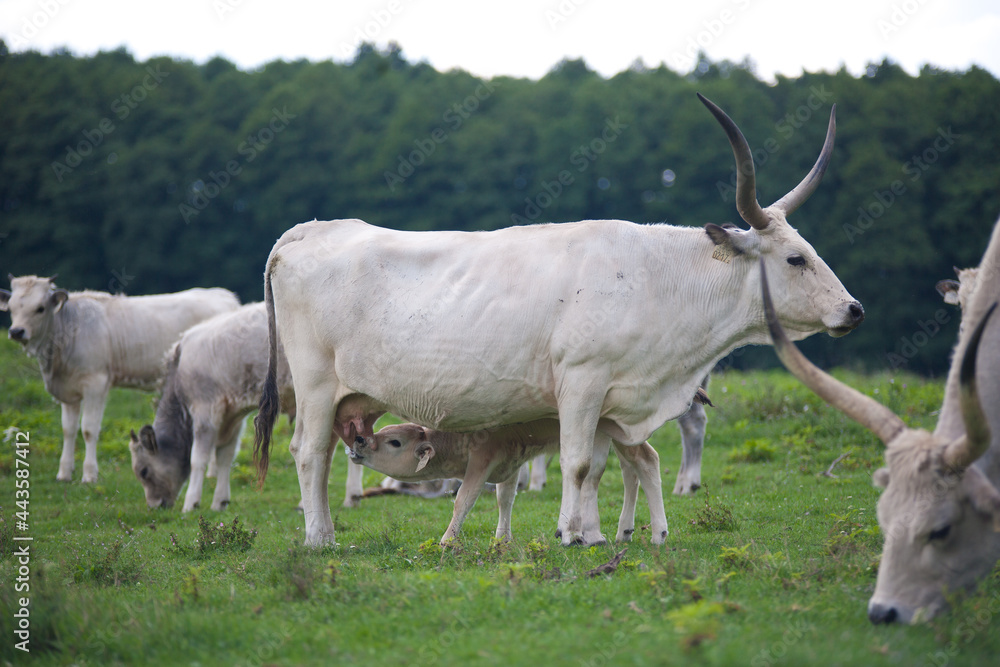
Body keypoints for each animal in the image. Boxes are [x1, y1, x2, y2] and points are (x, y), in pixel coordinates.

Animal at [0, 276, 239, 482]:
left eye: (40, 308)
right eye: (11, 308)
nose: (16, 331)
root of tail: (223, 295)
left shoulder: (96, 383)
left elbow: (89, 429)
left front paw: (89, 475)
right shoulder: (68, 391)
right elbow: (68, 430)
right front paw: (64, 473)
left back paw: (213, 473)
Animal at [128, 303, 365, 511]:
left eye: (144, 472)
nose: (154, 505)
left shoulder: (206, 412)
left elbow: (198, 459)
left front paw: (191, 503)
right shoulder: (231, 416)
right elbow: (225, 457)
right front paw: (219, 501)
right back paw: (352, 496)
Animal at [349, 420, 667, 545]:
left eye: (395, 442)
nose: (359, 440)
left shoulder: (482, 460)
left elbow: (464, 500)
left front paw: (447, 540)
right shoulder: (510, 461)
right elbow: (505, 498)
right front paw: (502, 537)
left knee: (646, 461)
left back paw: (658, 533)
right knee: (631, 469)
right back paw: (625, 530)